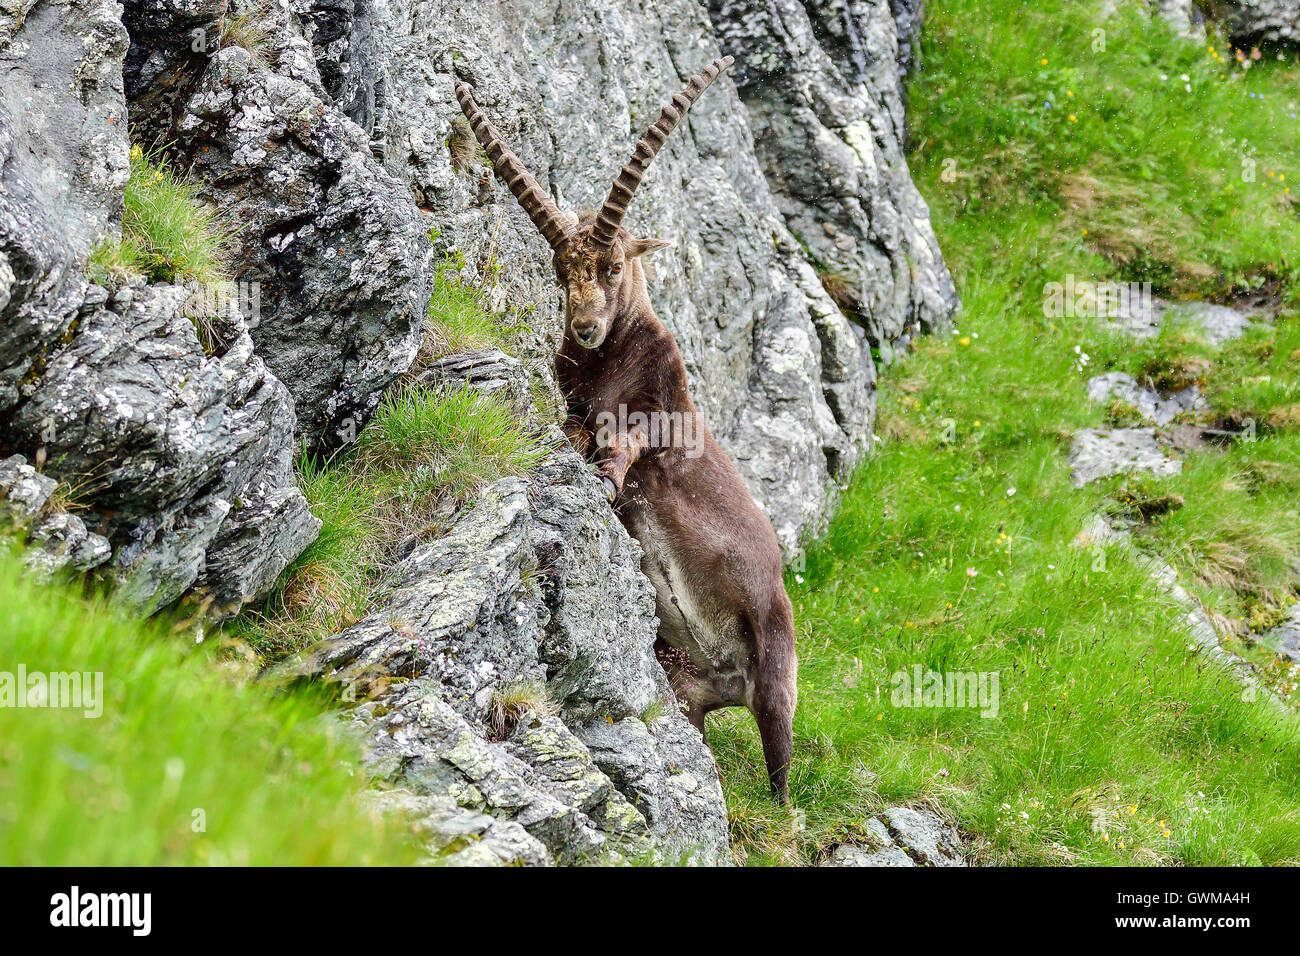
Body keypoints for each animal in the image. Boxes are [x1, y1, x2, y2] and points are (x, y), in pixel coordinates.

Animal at [456, 58, 797, 801]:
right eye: (562, 269)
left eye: (612, 266)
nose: (585, 327)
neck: (610, 366)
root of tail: (731, 683)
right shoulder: (579, 401)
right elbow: (574, 427)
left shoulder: (662, 410)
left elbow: (629, 445)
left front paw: (608, 477)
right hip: (684, 684)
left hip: (776, 665)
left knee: (781, 769)